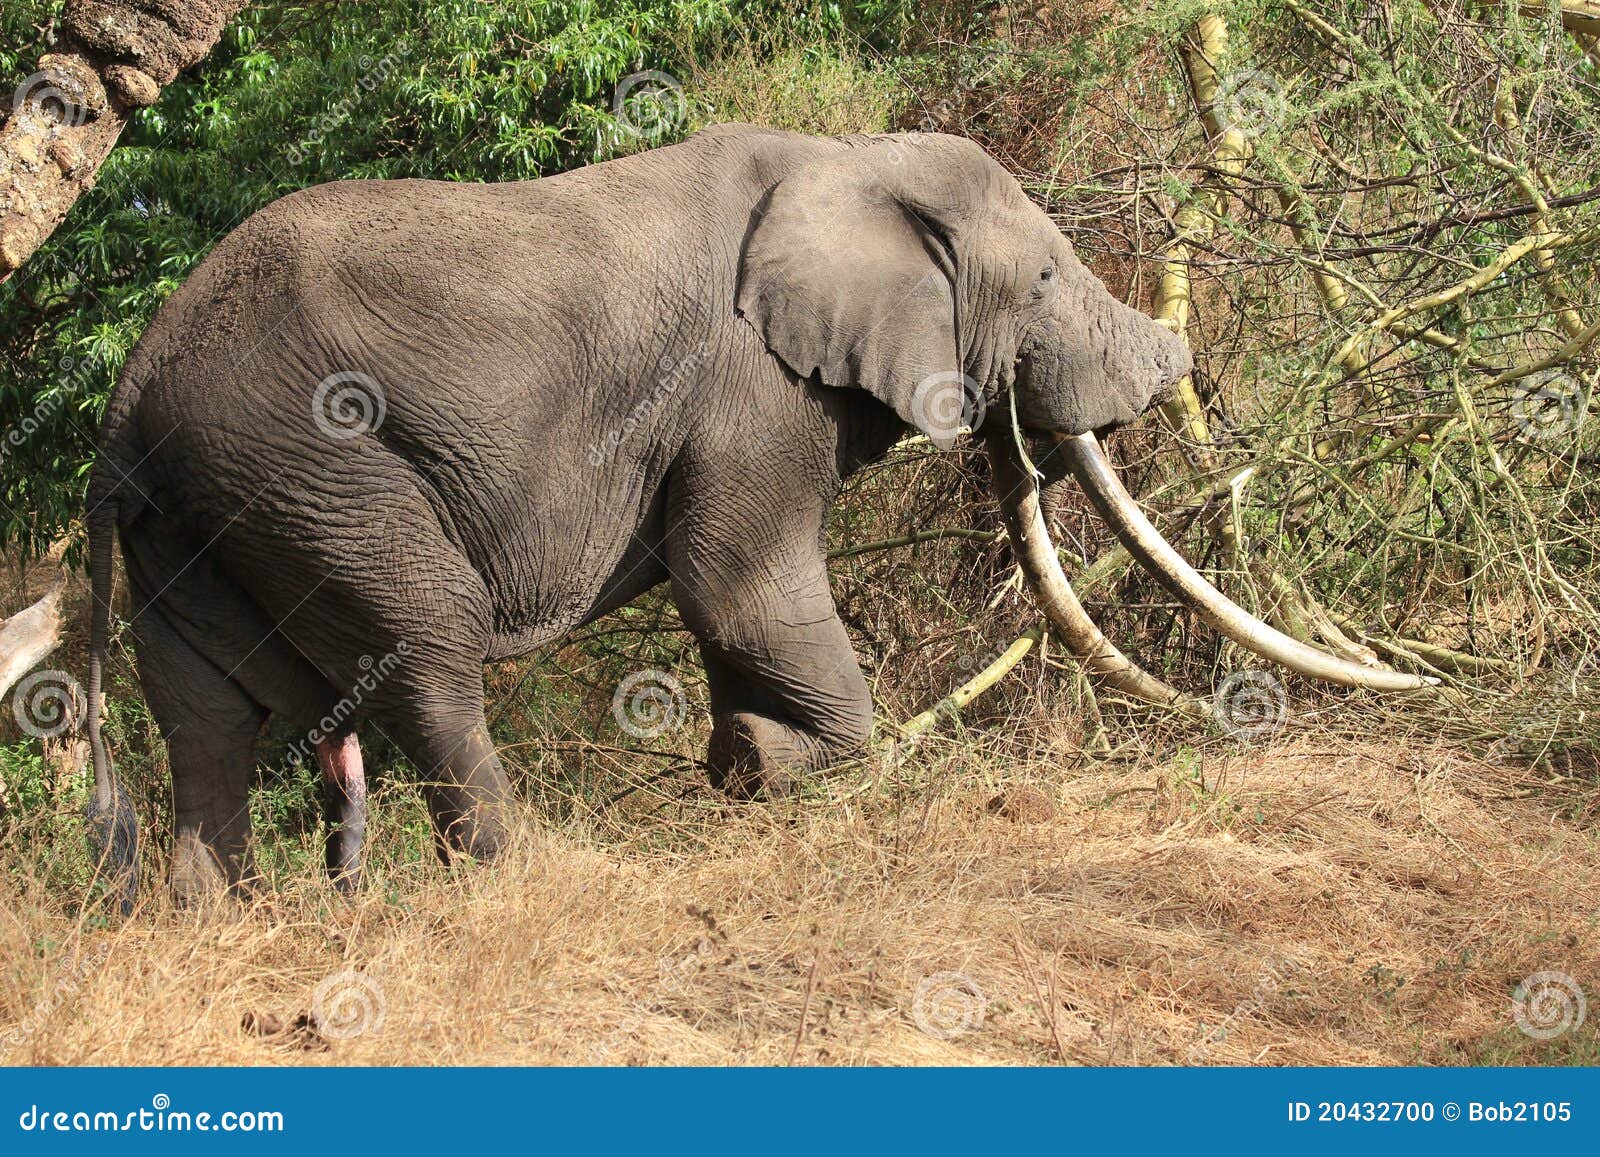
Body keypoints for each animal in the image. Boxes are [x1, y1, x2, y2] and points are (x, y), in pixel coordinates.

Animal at [82, 123, 1428, 905]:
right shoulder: (750, 381)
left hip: (207, 510)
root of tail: (130, 392)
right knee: (424, 644)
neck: (849, 158)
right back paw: (522, 879)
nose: (1176, 363)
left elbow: (736, 596)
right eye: (1045, 277)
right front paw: (764, 765)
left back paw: (221, 918)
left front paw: (743, 760)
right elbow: (736, 577)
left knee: (210, 710)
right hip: (306, 462)